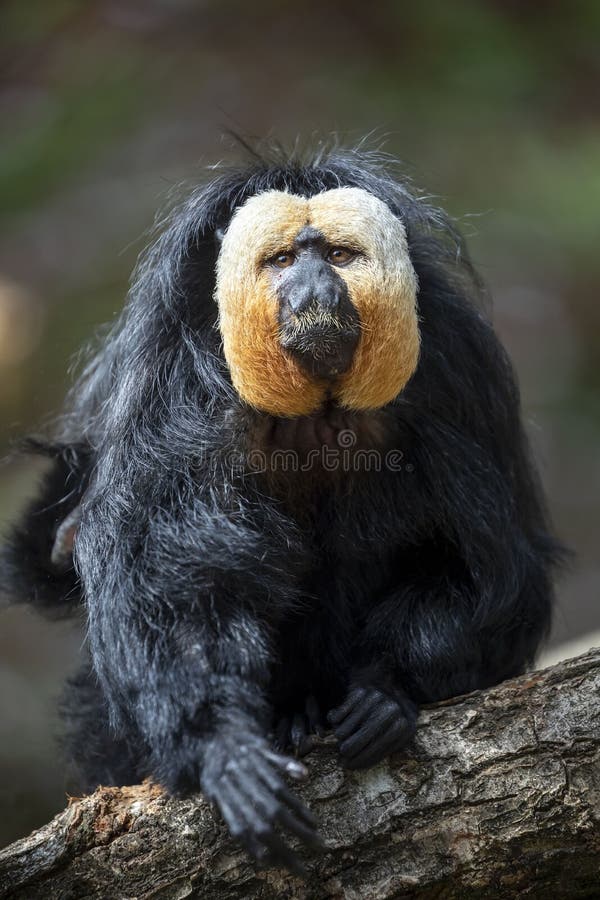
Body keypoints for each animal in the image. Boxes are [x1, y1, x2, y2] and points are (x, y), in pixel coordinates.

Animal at [1, 145, 564, 875]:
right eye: (282, 260)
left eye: (339, 255)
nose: (316, 288)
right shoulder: (175, 379)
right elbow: (170, 579)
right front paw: (224, 746)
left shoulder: (459, 372)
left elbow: (493, 577)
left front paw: (388, 688)